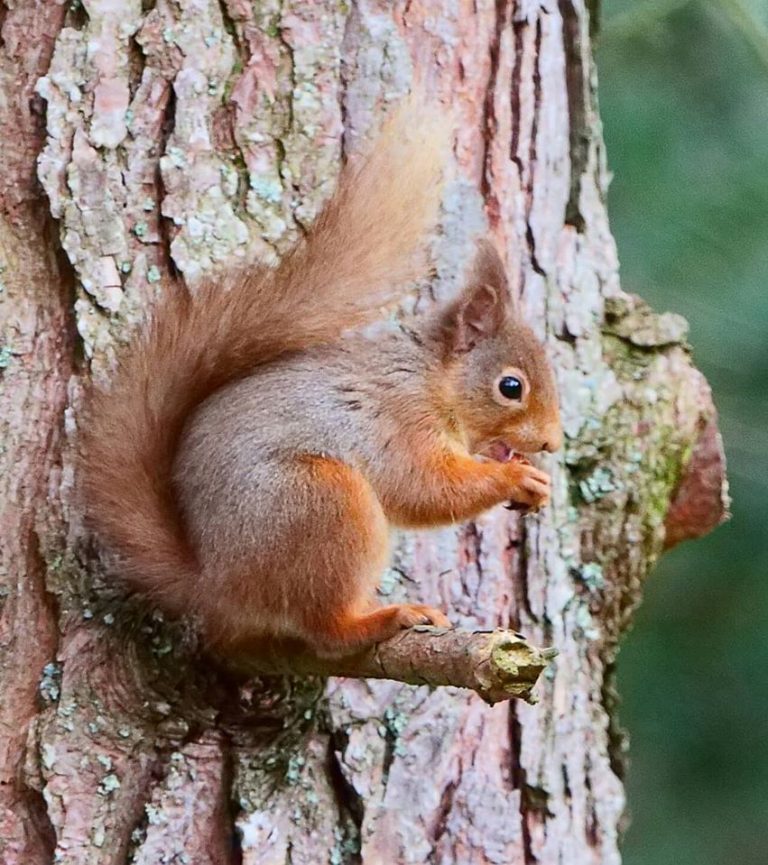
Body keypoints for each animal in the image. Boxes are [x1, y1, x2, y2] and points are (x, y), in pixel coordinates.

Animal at [83, 98, 562, 659]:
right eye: (511, 387)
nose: (551, 442)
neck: (431, 378)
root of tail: (215, 586)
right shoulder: (401, 421)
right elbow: (426, 488)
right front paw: (513, 477)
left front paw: (532, 483)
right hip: (323, 502)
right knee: (323, 626)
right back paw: (381, 618)